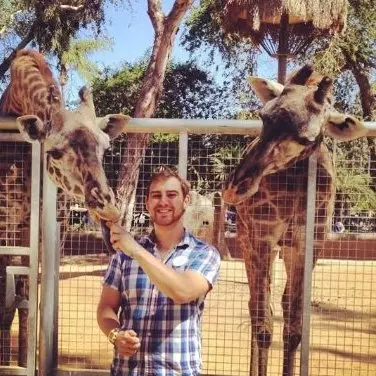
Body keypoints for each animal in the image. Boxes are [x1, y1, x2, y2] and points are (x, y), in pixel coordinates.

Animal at [0, 49, 129, 364]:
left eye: (106, 147)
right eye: (55, 152)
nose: (108, 209)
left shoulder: (44, 231)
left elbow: (27, 299)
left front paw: (24, 360)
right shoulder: (6, 225)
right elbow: (7, 302)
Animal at [223, 65, 368, 376]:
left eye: (307, 139)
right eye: (263, 116)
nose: (235, 187)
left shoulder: (307, 244)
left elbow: (294, 324)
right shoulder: (262, 238)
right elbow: (264, 324)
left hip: (283, 248)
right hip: (246, 239)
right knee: (255, 306)